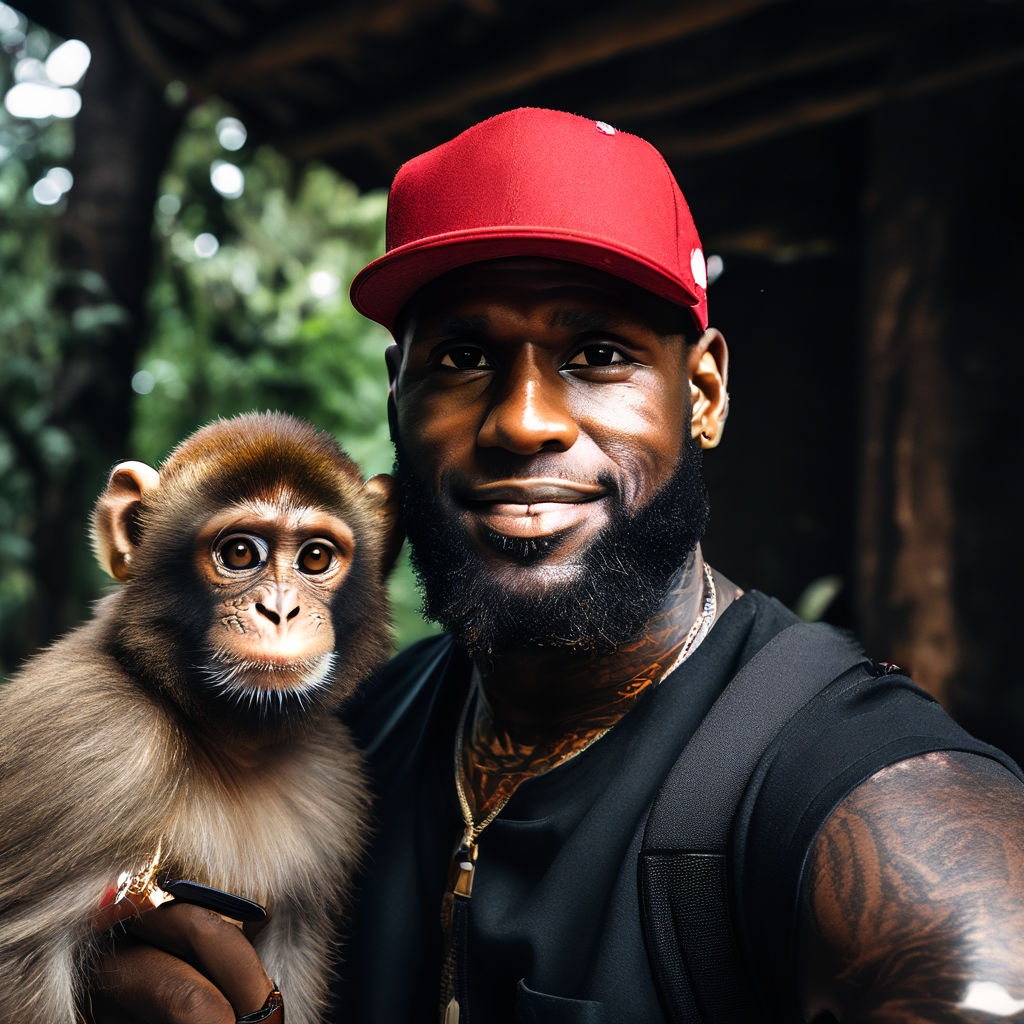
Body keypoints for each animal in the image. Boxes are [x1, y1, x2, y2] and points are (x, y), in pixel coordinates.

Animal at [0, 411, 401, 1024]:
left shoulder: (331, 780)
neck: (229, 745)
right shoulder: (91, 749)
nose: (280, 610)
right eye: (238, 553)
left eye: (315, 557)